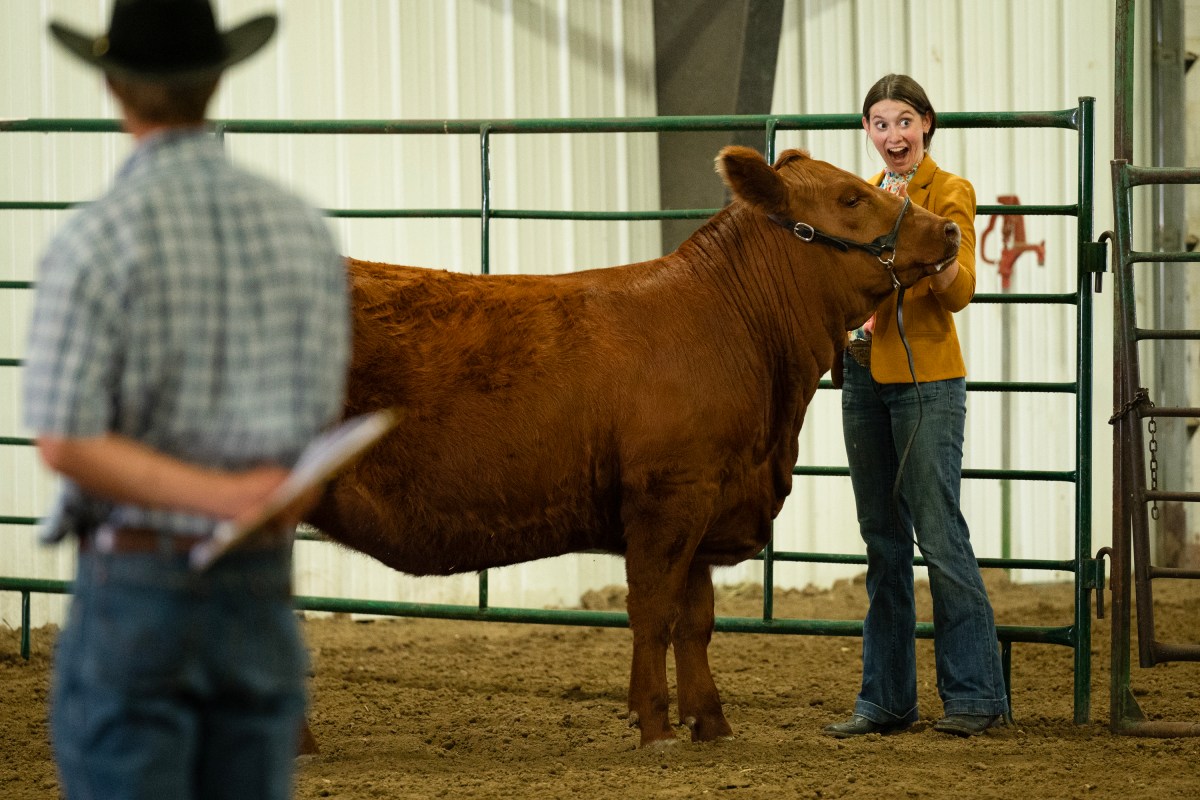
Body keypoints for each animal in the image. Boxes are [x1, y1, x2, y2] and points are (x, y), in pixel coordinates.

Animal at [305, 146, 961, 748]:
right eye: (850, 198)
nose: (949, 229)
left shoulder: (708, 501)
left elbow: (696, 620)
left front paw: (710, 724)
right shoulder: (667, 495)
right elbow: (653, 612)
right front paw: (654, 726)